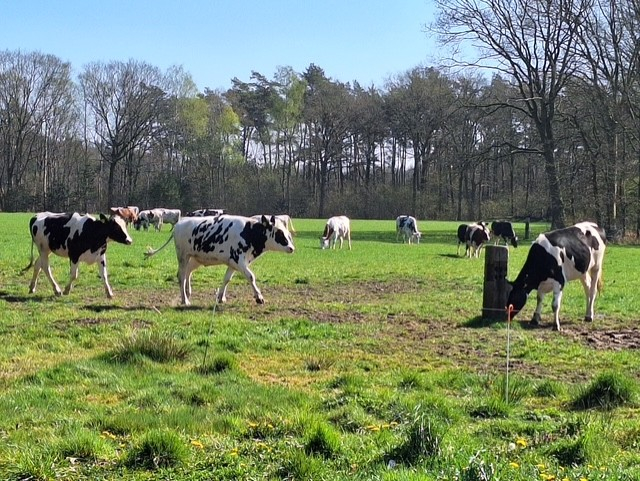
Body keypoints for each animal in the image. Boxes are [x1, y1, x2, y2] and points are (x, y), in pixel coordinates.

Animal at [144, 215, 295, 305]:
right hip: (183, 256)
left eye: (288, 233)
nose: (292, 248)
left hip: (194, 259)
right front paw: (259, 297)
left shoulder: (233, 263)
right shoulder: (239, 260)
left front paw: (221, 297)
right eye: (279, 233)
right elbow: (251, 276)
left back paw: (188, 293)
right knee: (181, 276)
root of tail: (179, 224)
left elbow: (227, 279)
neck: (249, 232)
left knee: (187, 273)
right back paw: (185, 300)